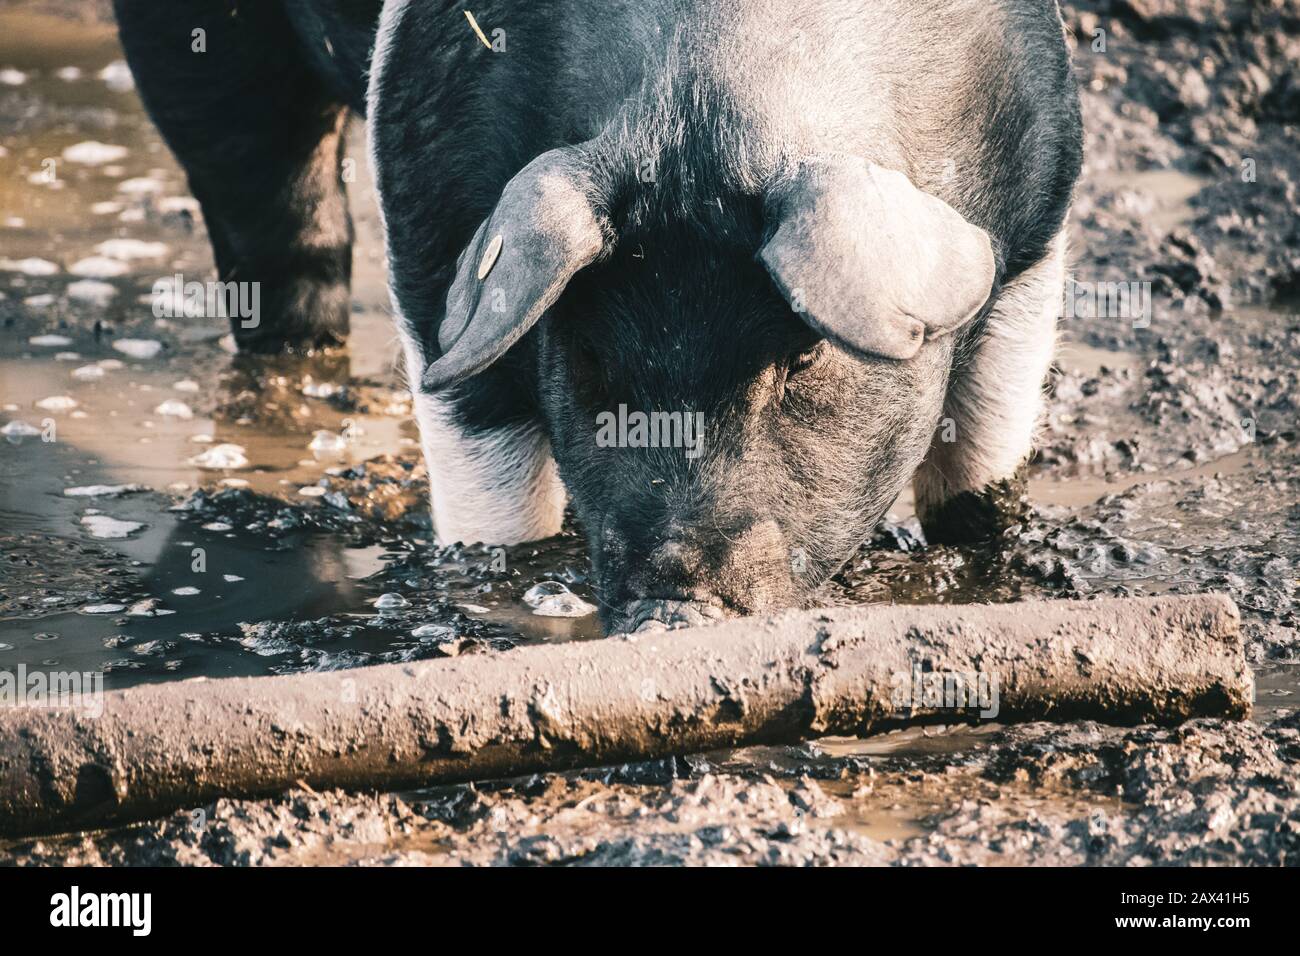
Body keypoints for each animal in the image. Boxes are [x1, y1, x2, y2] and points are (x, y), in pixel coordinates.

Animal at [114, 0, 1082, 633]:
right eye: (591, 356)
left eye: (803, 360)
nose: (674, 605)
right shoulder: (435, 254)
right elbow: (487, 481)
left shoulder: (1036, 234)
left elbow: (986, 443)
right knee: (273, 213)